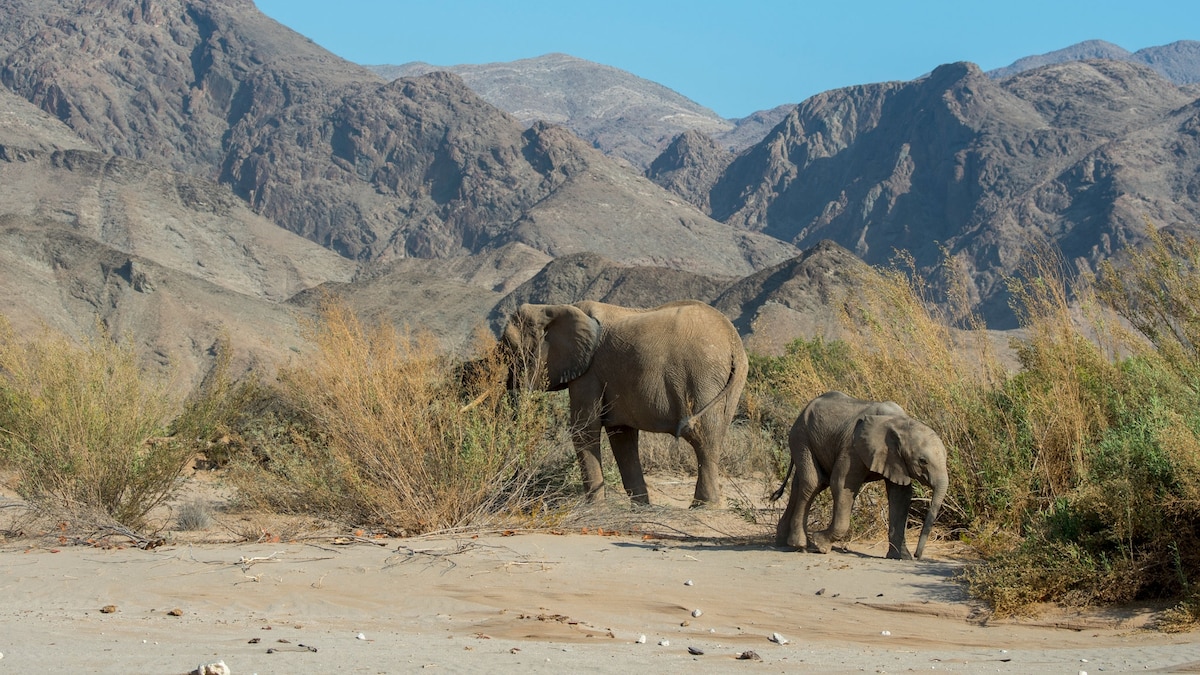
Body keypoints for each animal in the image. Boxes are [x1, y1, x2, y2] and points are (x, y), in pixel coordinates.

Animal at [499, 300, 748, 506]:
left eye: (510, 346)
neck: (554, 307)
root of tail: (733, 342)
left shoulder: (589, 373)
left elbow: (584, 430)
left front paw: (595, 509)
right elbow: (622, 436)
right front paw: (641, 508)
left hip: (702, 377)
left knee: (702, 437)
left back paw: (703, 507)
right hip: (729, 384)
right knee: (713, 436)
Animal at [771, 391, 948, 559]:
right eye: (923, 461)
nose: (918, 555)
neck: (900, 422)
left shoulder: (895, 458)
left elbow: (901, 495)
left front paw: (902, 557)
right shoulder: (852, 448)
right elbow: (841, 485)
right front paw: (821, 545)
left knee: (803, 483)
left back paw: (783, 542)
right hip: (802, 437)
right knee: (814, 483)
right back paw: (800, 545)